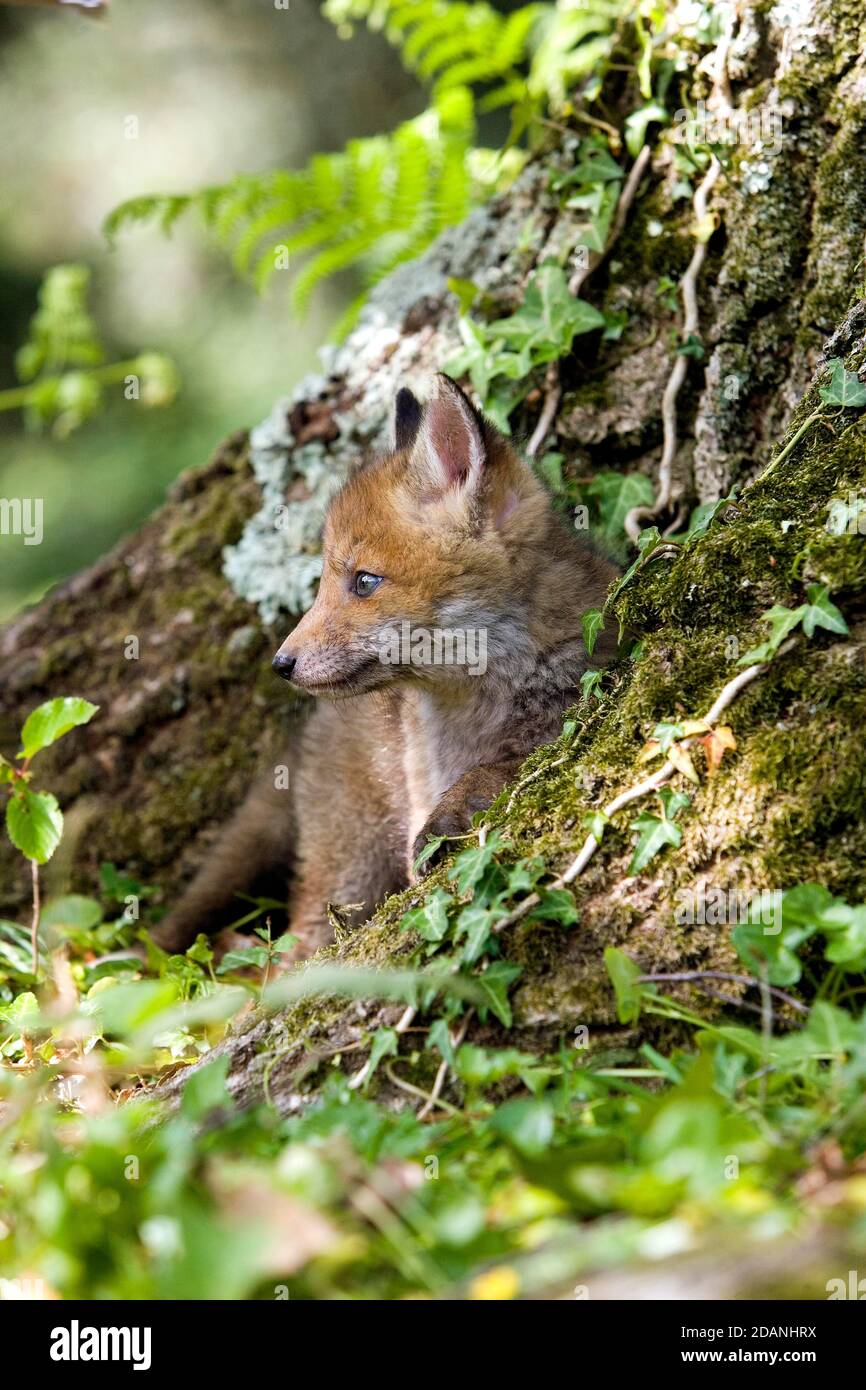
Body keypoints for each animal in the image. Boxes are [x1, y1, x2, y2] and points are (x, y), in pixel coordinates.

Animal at [153, 374, 618, 957]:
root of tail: (305, 742)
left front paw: (459, 809)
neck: (477, 711)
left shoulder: (584, 699)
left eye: (364, 581)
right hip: (350, 875)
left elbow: (511, 764)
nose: (281, 663)